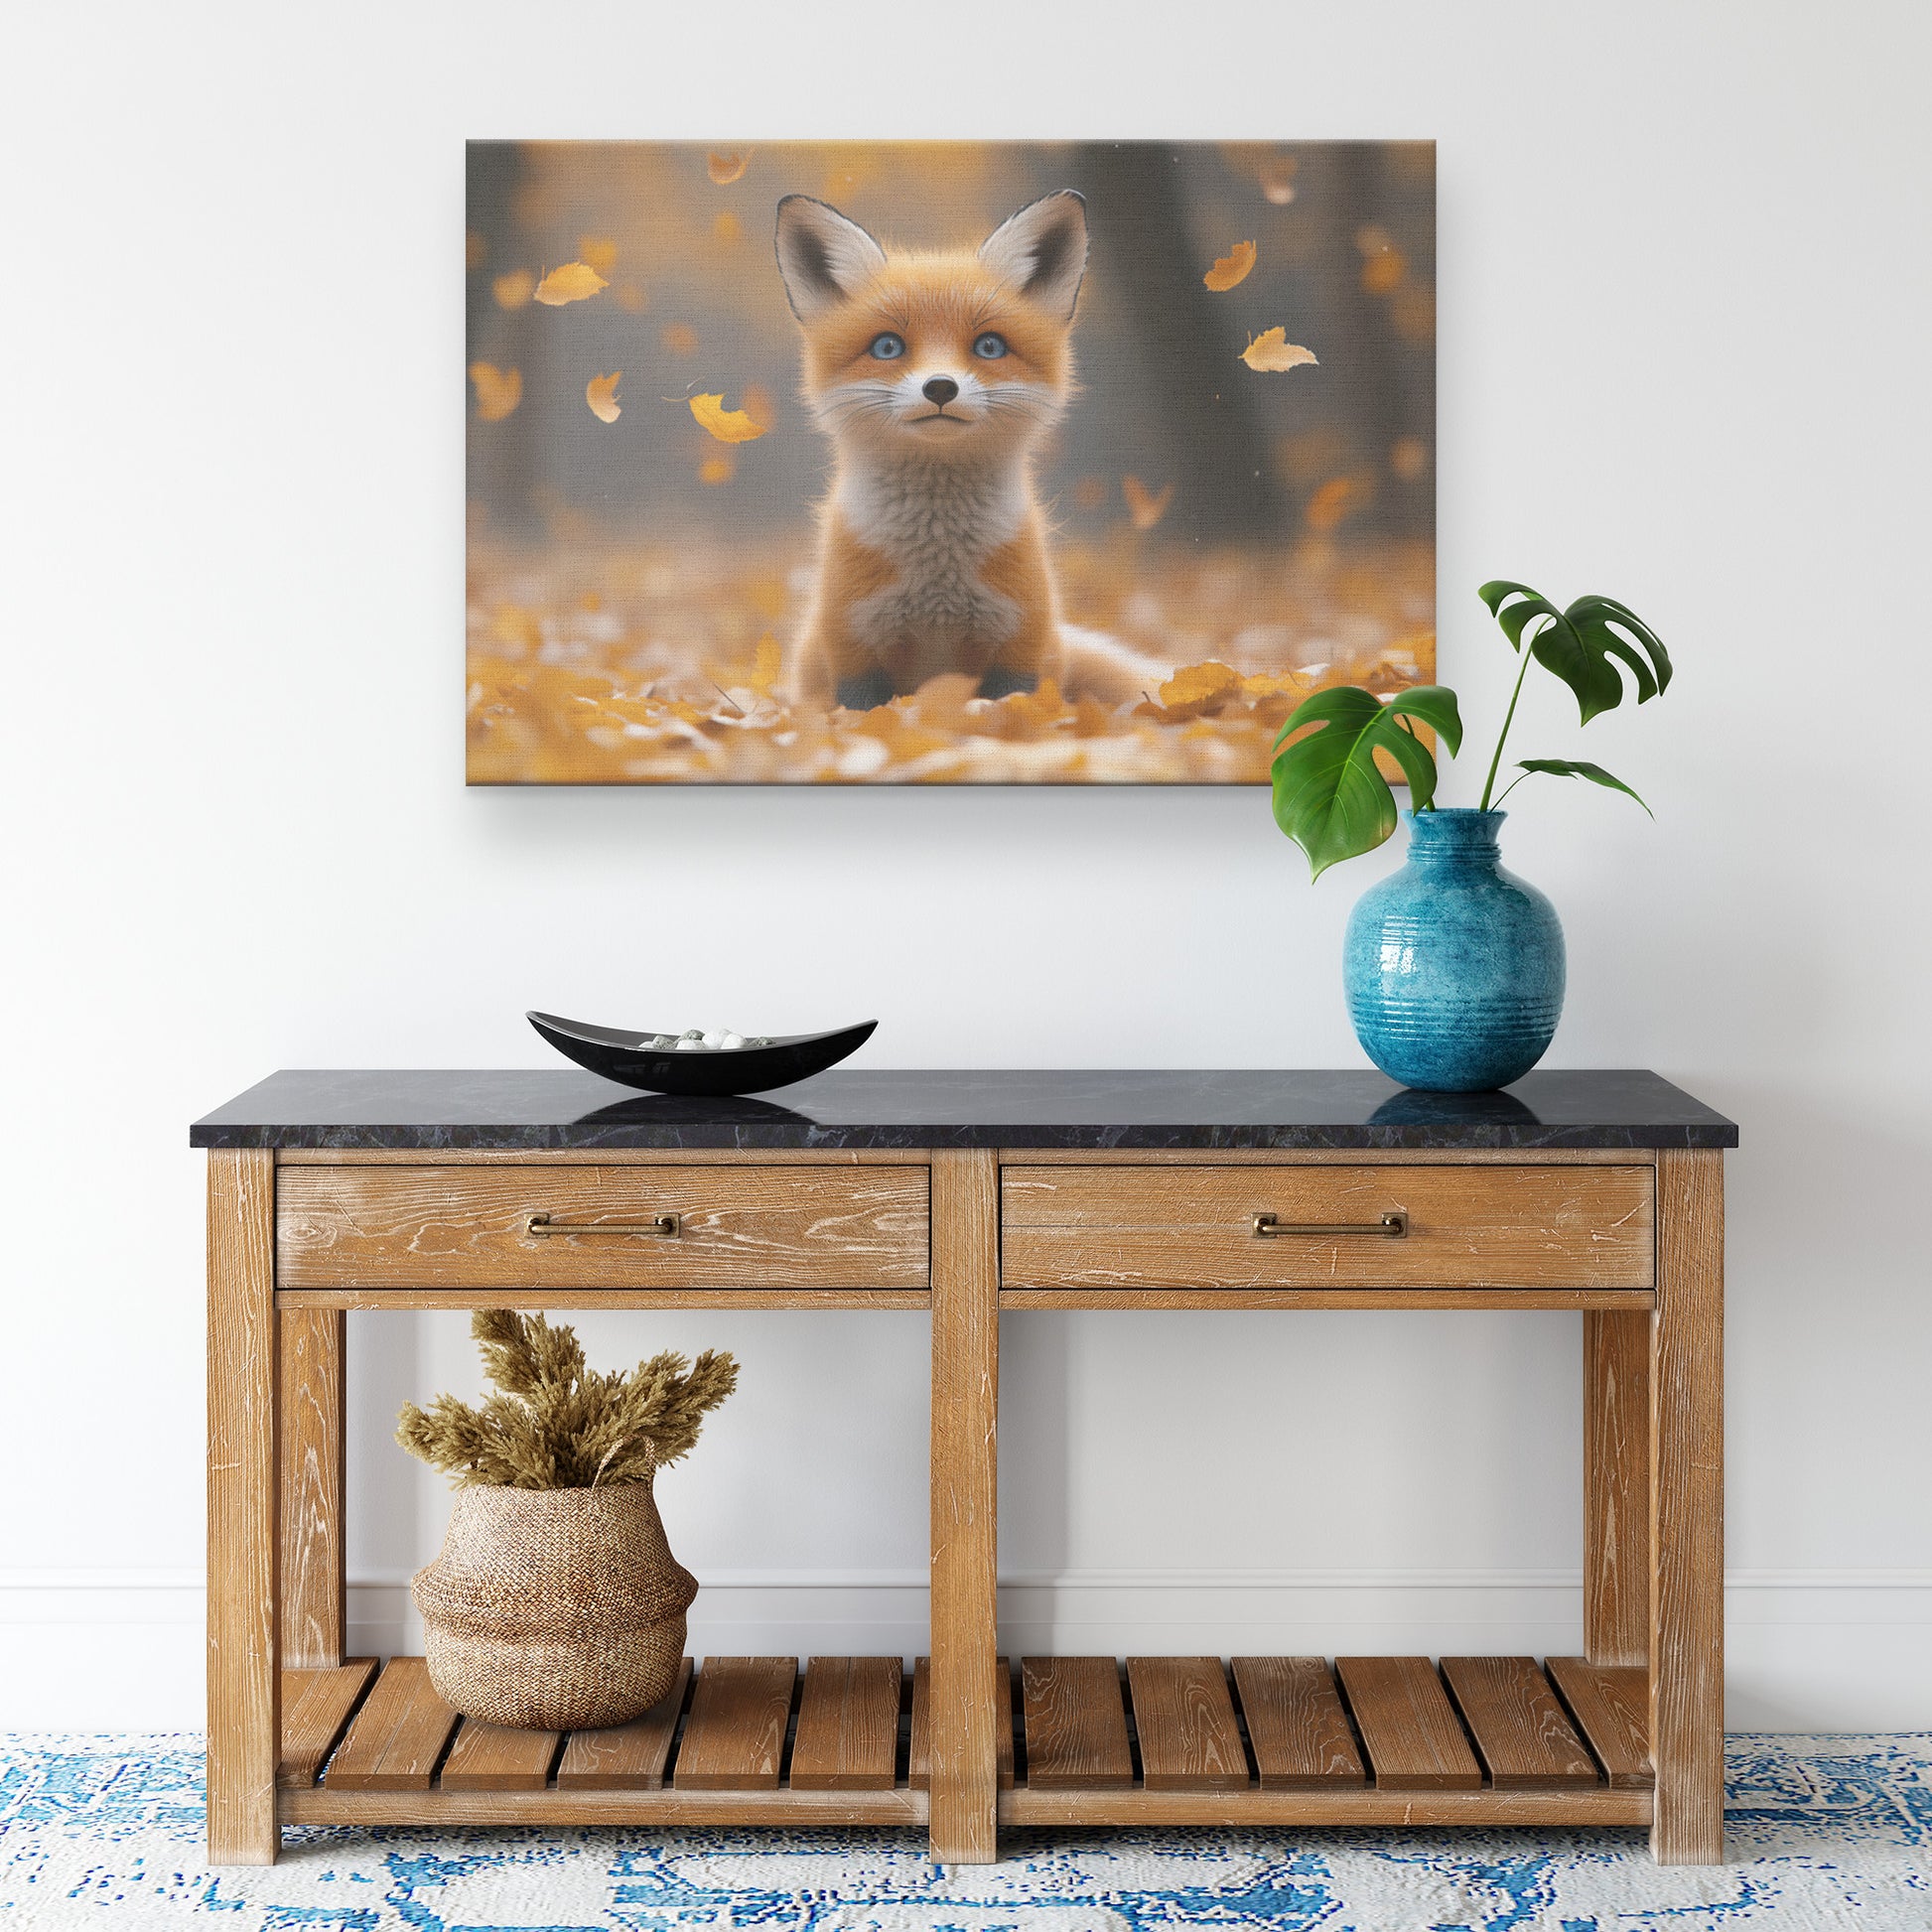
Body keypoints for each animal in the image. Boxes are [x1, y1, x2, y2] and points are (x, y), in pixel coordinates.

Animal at [773, 189, 1169, 712]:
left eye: (988, 346)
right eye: (887, 347)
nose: (940, 387)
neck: (938, 569)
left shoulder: (1019, 648)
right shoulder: (853, 652)